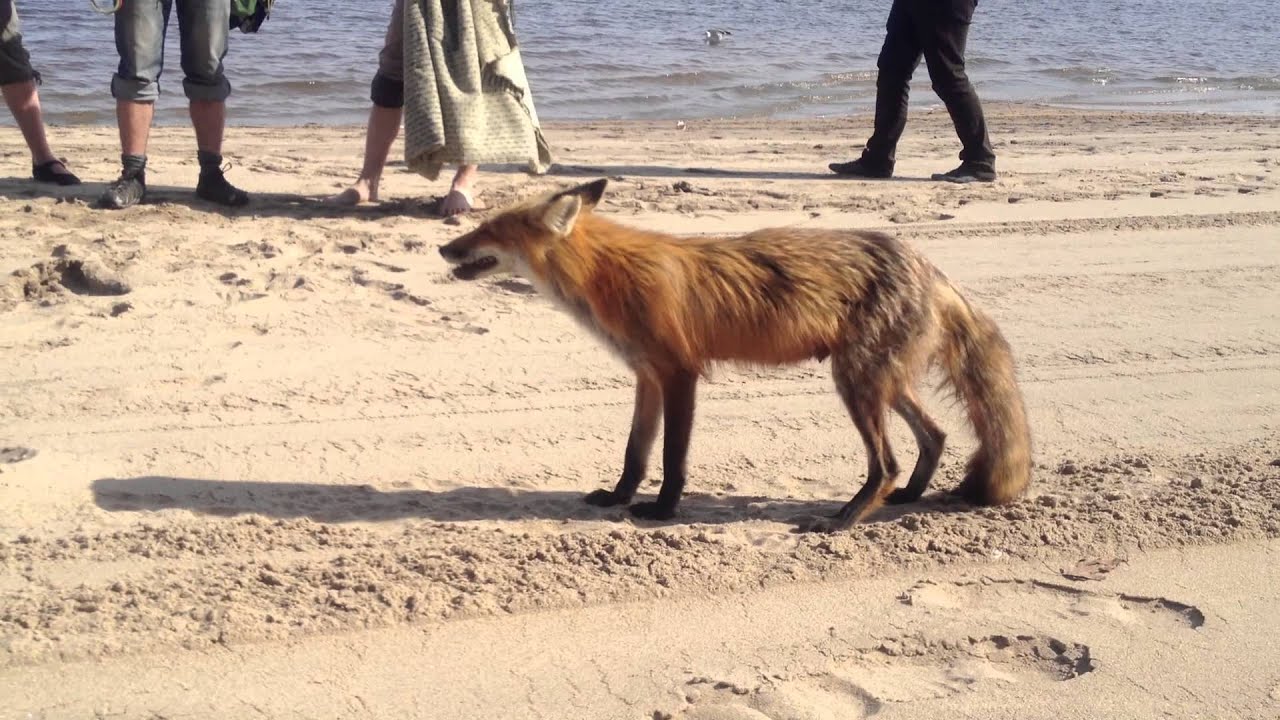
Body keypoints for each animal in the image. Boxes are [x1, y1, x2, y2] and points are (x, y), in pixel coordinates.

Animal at [438, 178, 1032, 532]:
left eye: (488, 230)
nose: (443, 246)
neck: (607, 274)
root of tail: (926, 263)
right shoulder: (646, 377)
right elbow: (635, 454)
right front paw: (618, 498)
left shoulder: (679, 373)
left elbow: (672, 459)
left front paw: (662, 510)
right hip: (881, 381)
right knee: (935, 436)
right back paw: (906, 497)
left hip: (856, 382)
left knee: (885, 462)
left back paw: (844, 520)